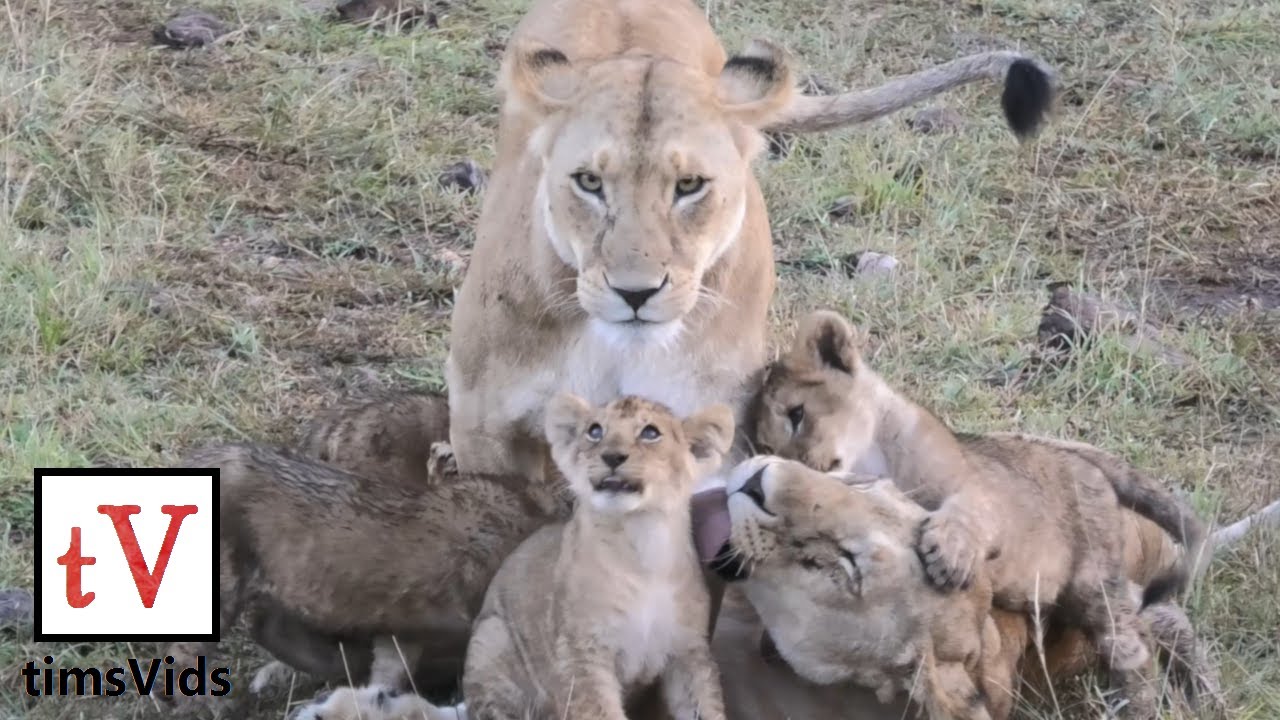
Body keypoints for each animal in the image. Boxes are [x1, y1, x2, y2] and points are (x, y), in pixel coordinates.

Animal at [748, 309, 1213, 717]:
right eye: (768, 446)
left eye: (797, 414)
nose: (796, 465)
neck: (875, 453)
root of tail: (1089, 466)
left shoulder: (979, 490)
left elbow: (967, 512)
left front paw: (947, 556)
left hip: (1092, 580)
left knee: (1133, 645)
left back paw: (1142, 704)